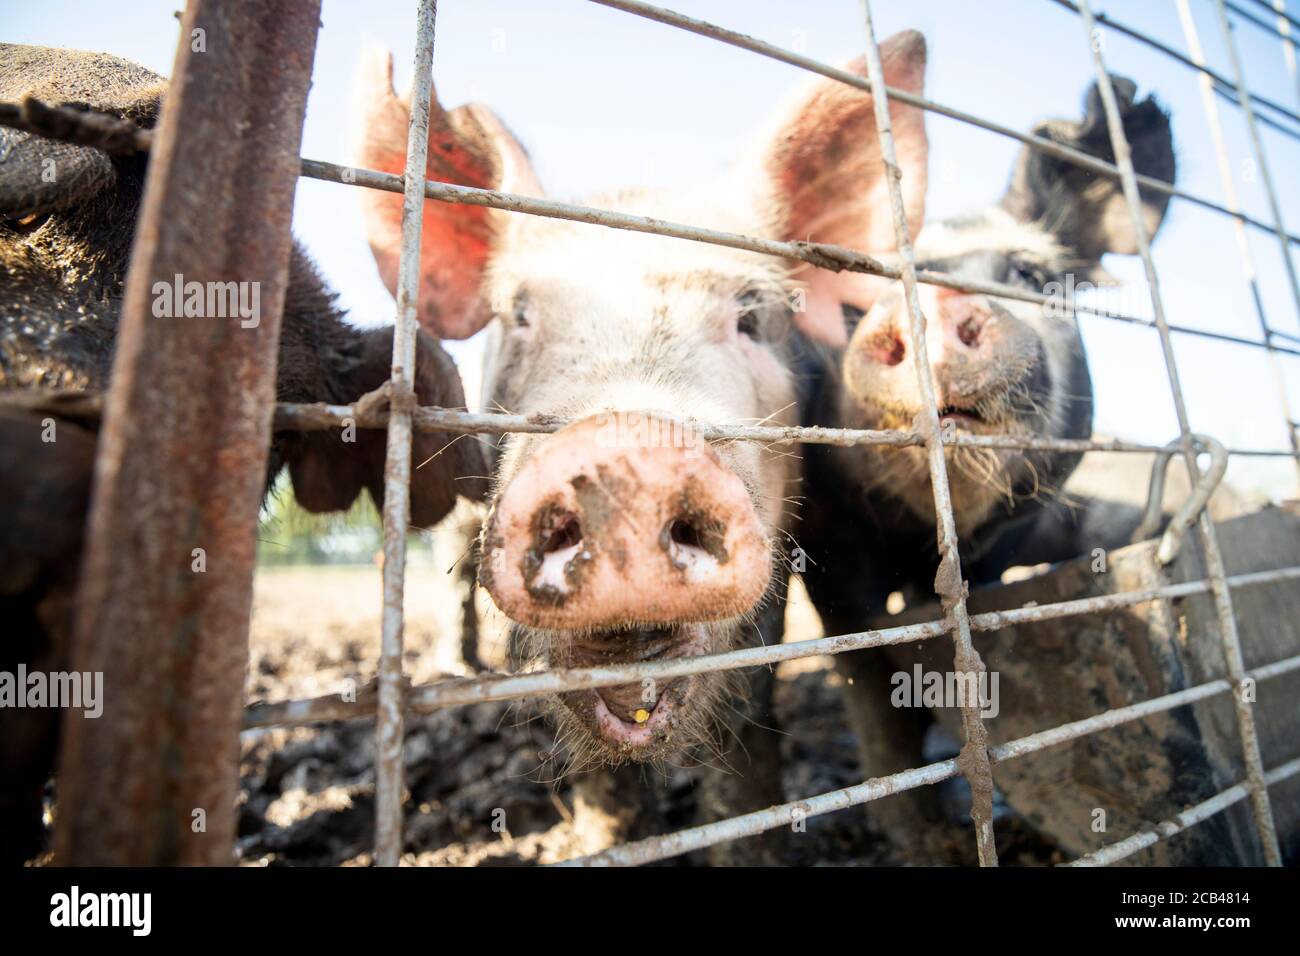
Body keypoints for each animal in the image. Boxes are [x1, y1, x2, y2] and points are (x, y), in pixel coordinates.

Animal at [796, 76, 1177, 857]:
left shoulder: (1007, 545)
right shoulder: (830, 544)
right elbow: (871, 690)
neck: (918, 540)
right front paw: (917, 835)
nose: (937, 300)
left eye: (1029, 273)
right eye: (858, 304)